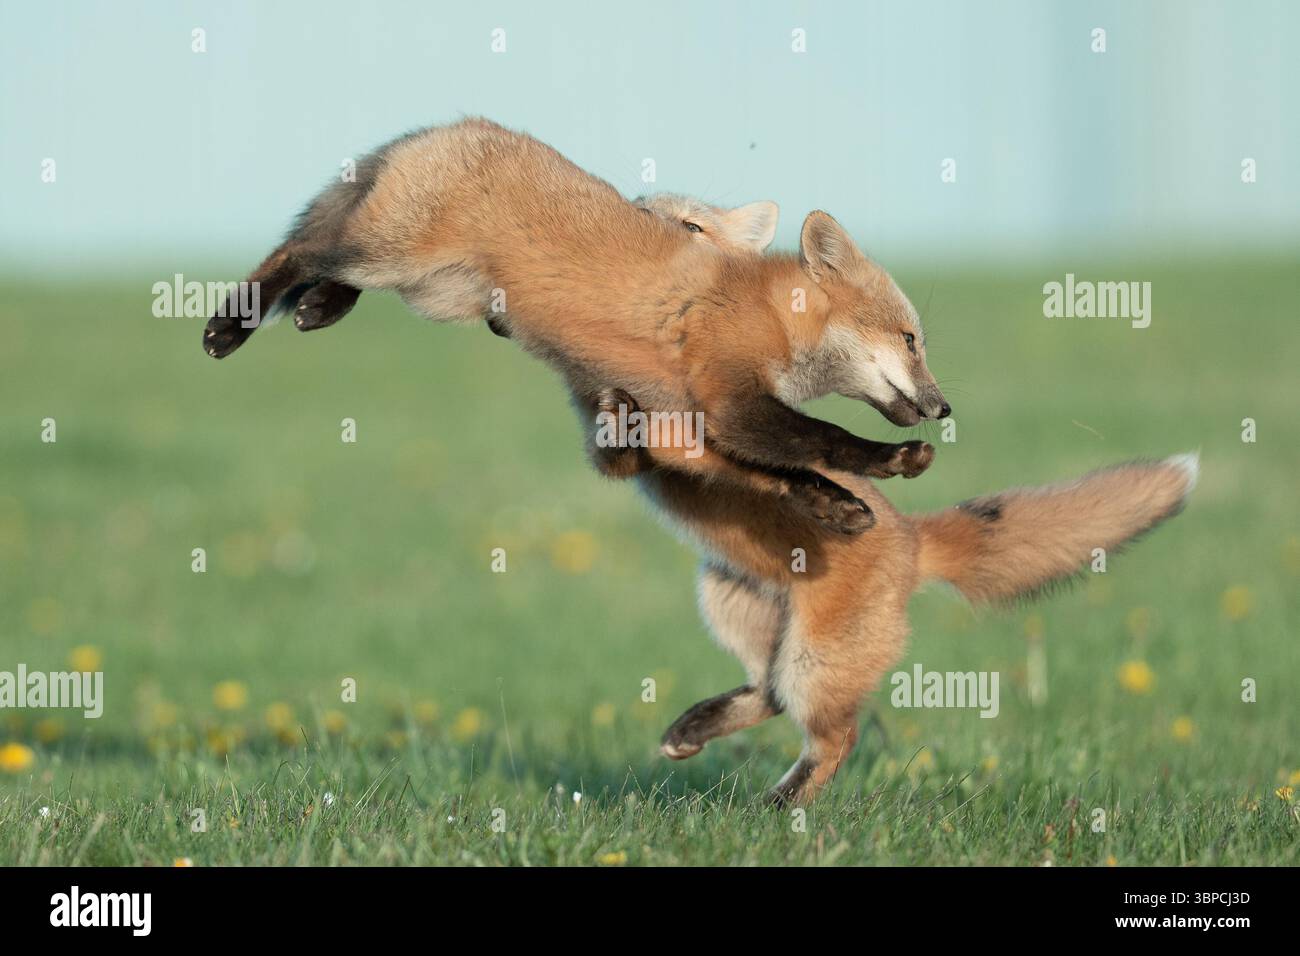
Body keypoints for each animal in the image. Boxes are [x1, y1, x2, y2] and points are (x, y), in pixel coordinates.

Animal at [202, 117, 945, 534]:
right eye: (911, 340)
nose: (944, 407)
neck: (766, 312)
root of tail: (454, 124)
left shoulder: (683, 425)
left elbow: (784, 472)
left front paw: (837, 506)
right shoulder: (730, 400)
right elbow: (823, 439)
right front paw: (892, 460)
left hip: (436, 289)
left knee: (325, 270)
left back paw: (319, 307)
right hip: (388, 253)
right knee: (299, 251)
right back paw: (231, 324)